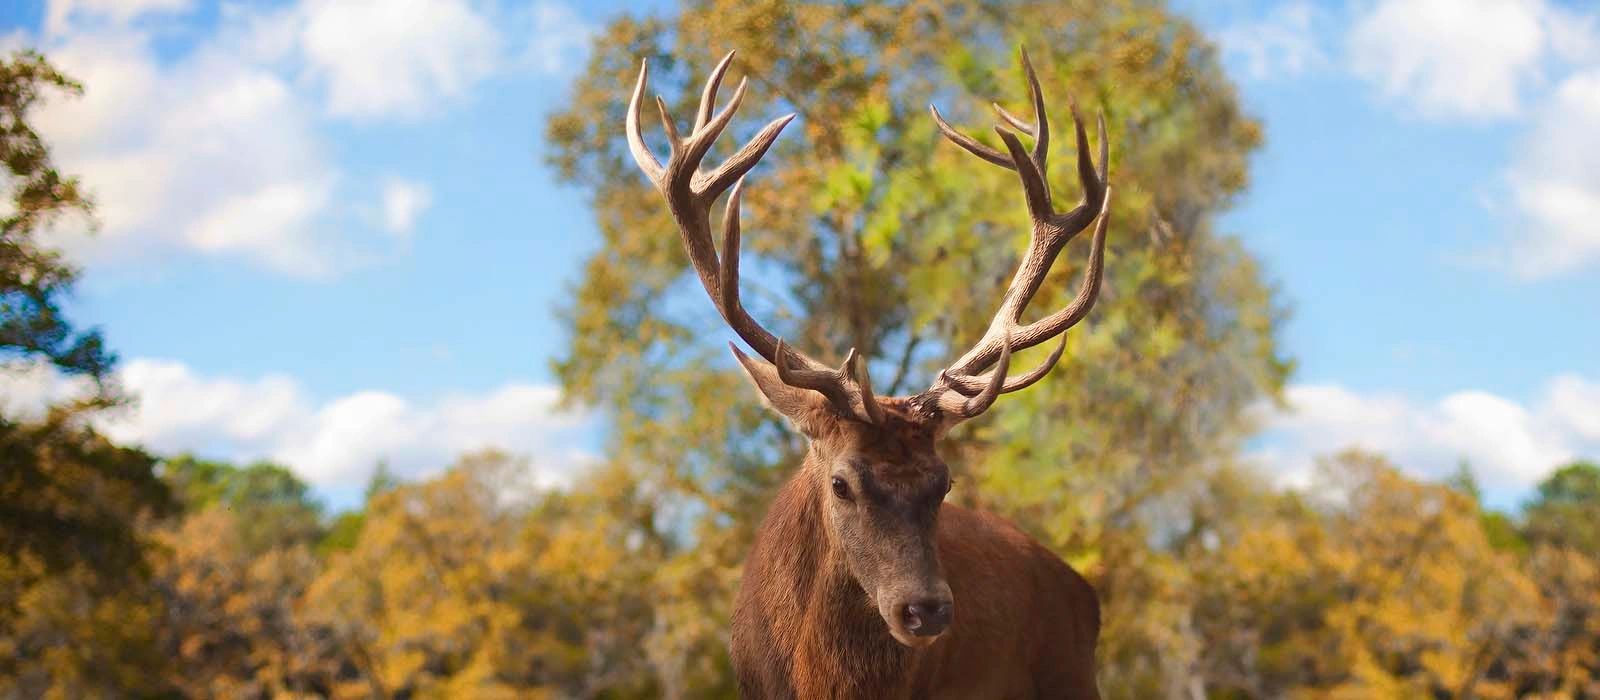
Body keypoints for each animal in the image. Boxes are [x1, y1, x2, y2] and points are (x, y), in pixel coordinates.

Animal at [624, 47, 1111, 699]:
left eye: (944, 483)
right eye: (841, 484)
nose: (925, 611)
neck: (822, 683)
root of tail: (1086, 594)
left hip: (1073, 675)